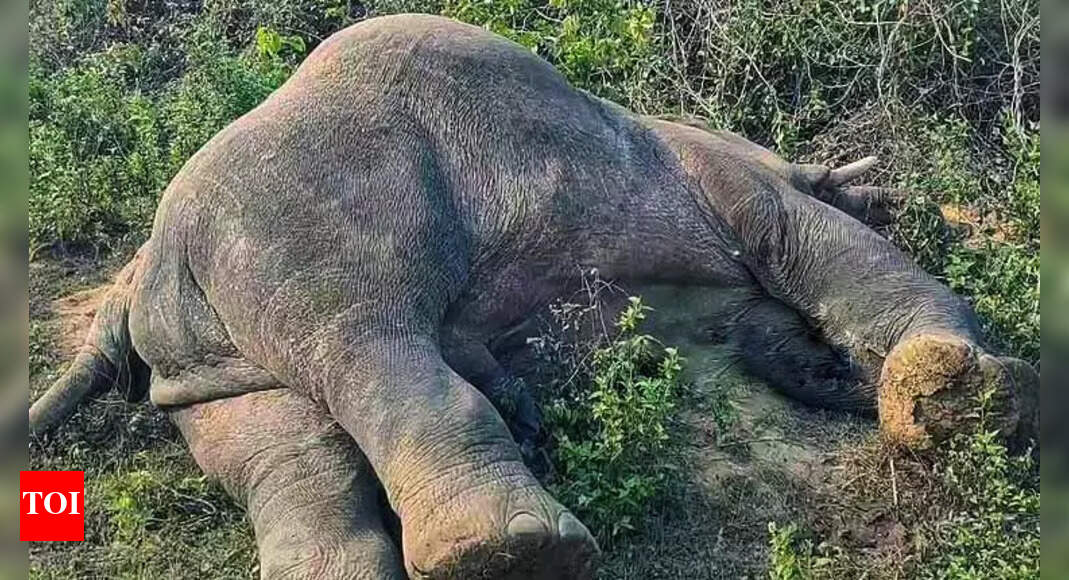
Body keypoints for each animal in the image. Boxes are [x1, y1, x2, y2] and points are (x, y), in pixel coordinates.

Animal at [30, 14, 1038, 579]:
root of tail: (148, 261)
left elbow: (771, 334)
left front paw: (864, 390)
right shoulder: (726, 179)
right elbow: (828, 250)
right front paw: (963, 395)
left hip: (199, 352)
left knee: (280, 439)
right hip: (295, 218)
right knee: (371, 341)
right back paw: (515, 554)